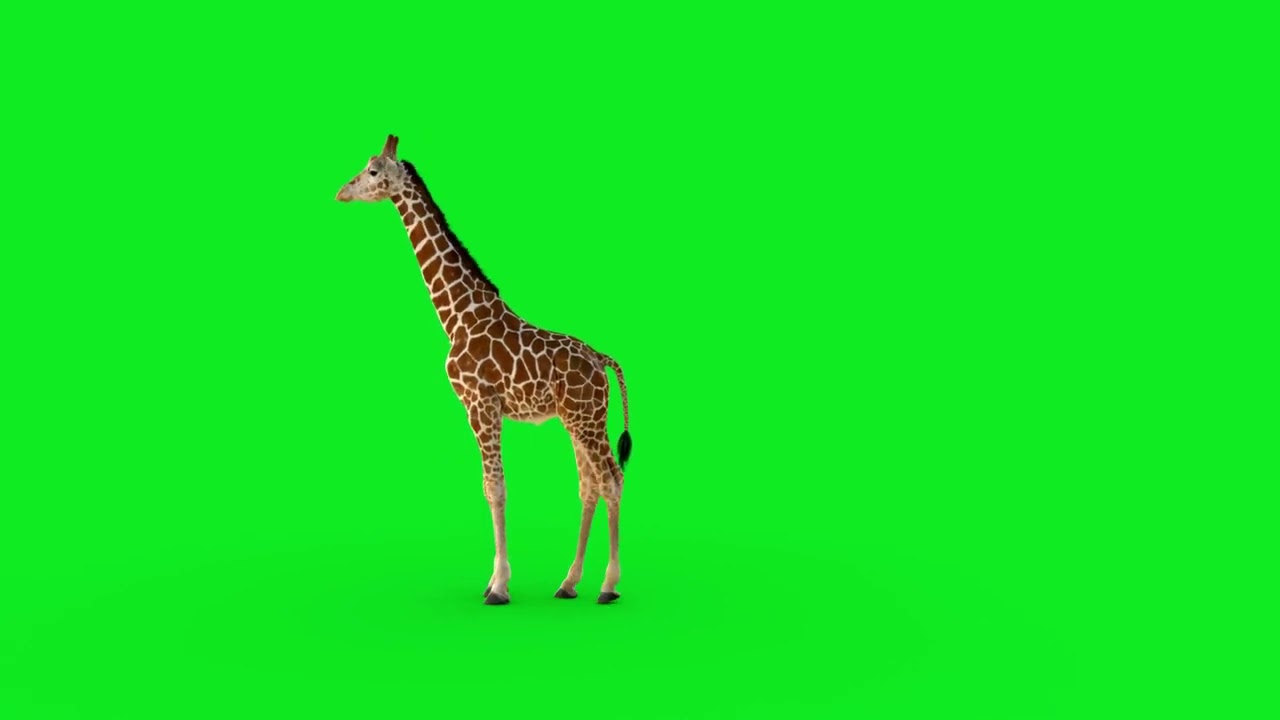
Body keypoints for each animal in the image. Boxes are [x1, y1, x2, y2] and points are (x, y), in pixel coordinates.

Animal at [336, 135, 632, 605]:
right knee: (590, 485)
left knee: (612, 479)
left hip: (587, 419)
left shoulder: (480, 403)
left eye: (374, 171)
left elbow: (495, 488)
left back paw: (607, 586)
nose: (342, 191)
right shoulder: (480, 407)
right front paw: (494, 581)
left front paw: (499, 586)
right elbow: (491, 487)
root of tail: (602, 359)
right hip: (577, 419)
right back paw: (568, 583)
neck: (457, 316)